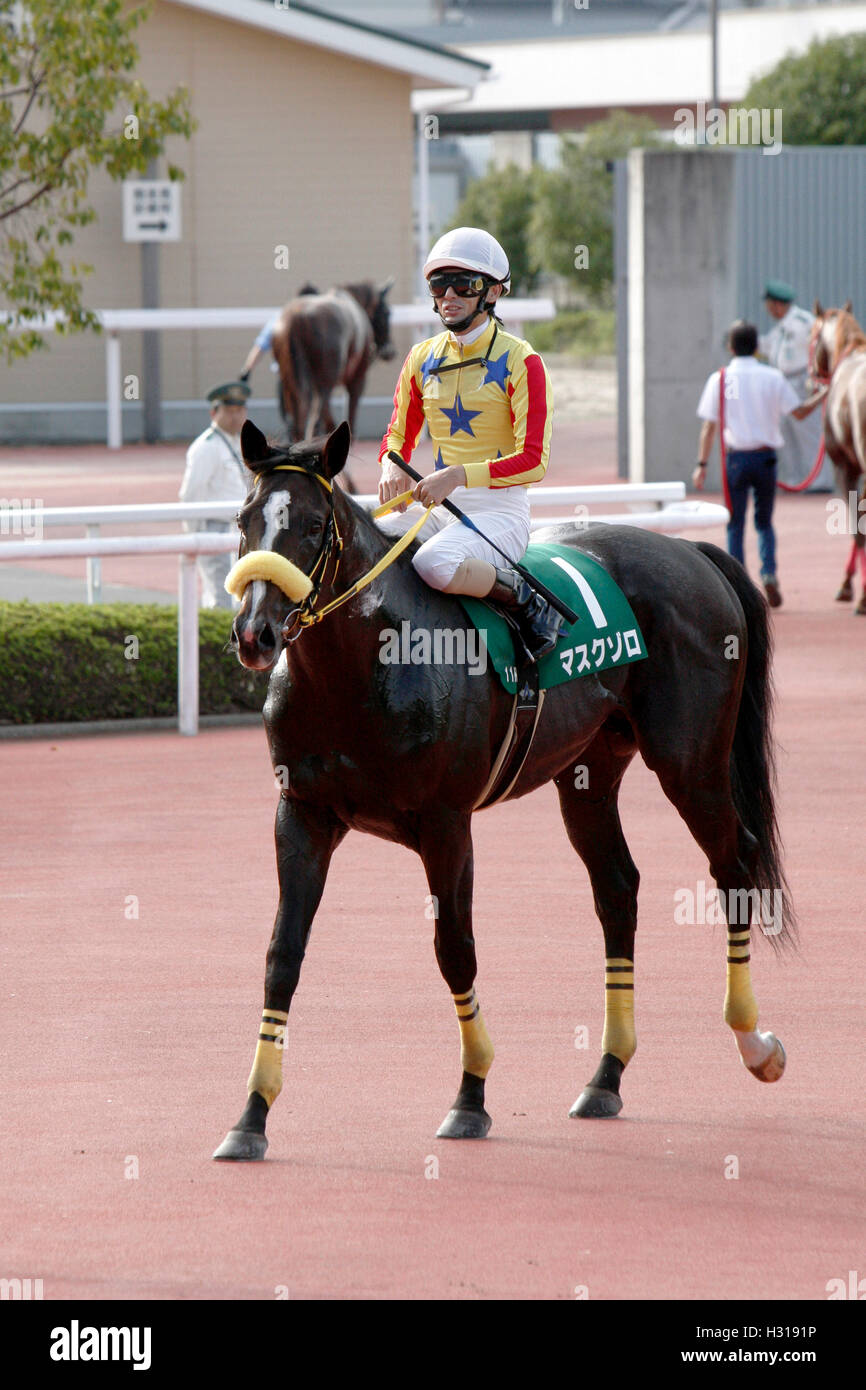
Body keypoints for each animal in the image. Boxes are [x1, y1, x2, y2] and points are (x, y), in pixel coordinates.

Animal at [213, 419, 794, 1161]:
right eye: (245, 519)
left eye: (315, 525)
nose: (254, 634)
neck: (367, 664)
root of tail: (689, 551)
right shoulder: (303, 815)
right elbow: (282, 956)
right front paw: (250, 1117)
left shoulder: (445, 823)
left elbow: (454, 950)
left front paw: (471, 1097)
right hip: (589, 774)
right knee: (618, 889)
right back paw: (605, 1077)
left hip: (689, 762)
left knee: (734, 861)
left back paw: (755, 1043)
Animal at [270, 279, 396, 492]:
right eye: (387, 312)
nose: (390, 351)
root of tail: (297, 317)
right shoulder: (355, 381)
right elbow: (347, 424)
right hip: (324, 384)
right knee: (315, 422)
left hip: (291, 384)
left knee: (298, 422)